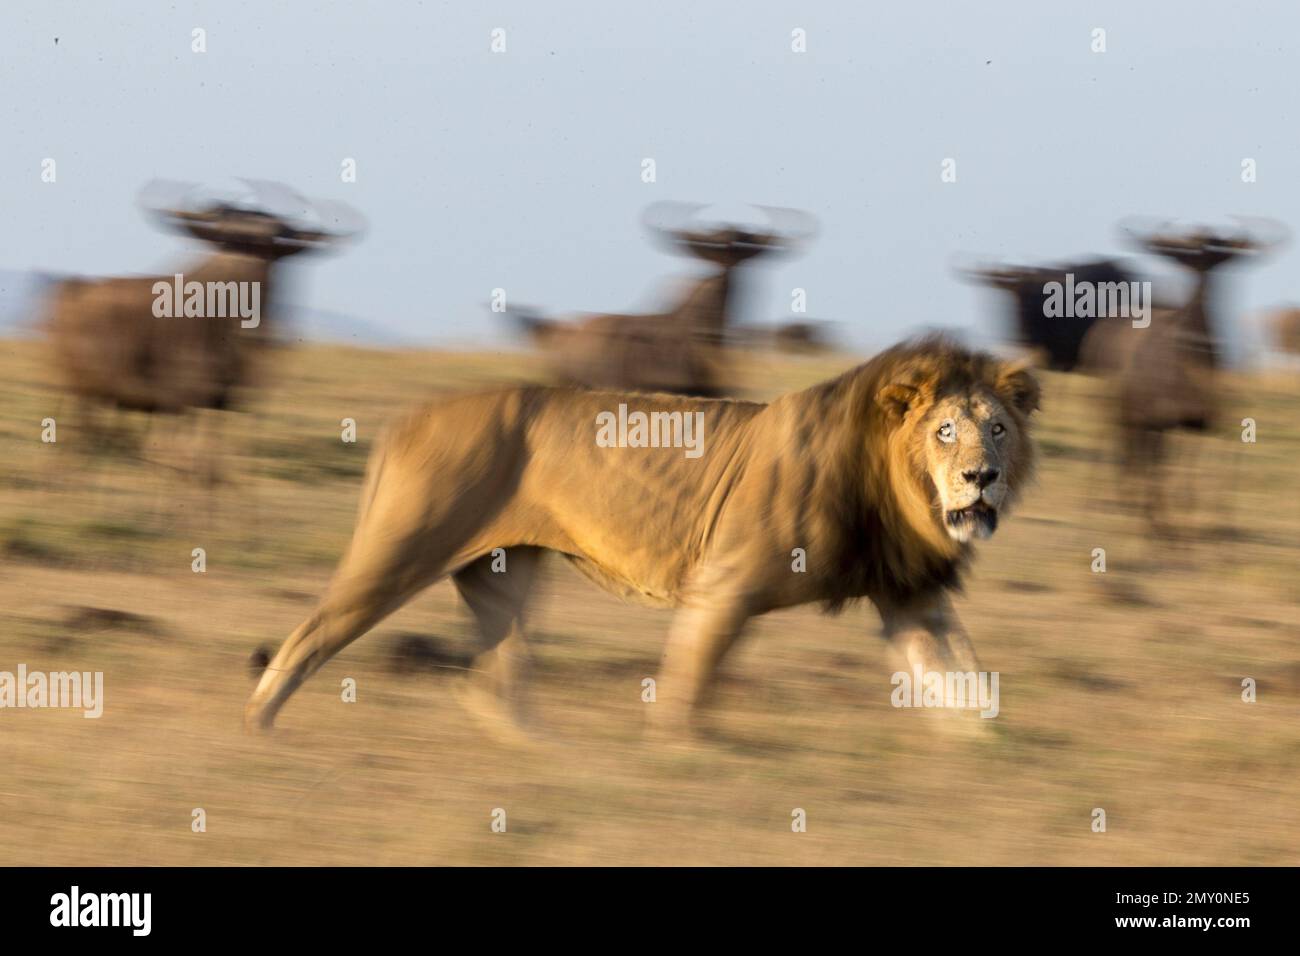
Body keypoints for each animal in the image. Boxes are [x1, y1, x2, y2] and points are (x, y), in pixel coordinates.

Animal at [245, 335, 1040, 736]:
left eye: (998, 428)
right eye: (945, 431)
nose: (982, 477)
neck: (895, 490)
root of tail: (408, 417)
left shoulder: (908, 593)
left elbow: (964, 684)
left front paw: (980, 754)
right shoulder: (725, 583)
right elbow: (690, 681)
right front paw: (679, 763)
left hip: (507, 570)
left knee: (491, 678)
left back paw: (541, 752)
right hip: (402, 547)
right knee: (310, 635)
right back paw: (259, 729)